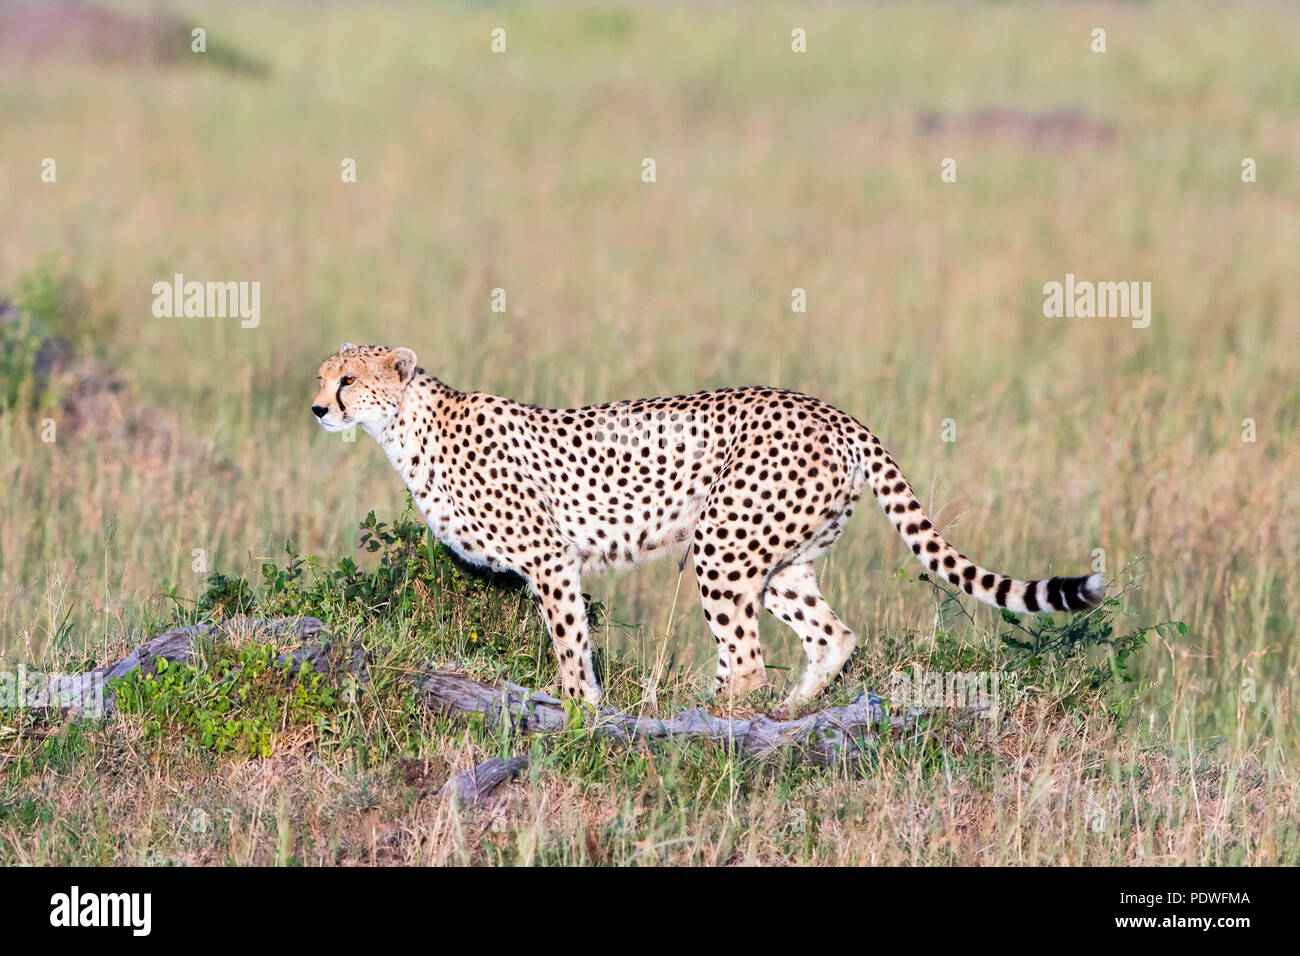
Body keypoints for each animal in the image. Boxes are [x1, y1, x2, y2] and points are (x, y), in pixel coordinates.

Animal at [312, 343, 1105, 709]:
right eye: (323, 378)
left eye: (348, 380)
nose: (319, 409)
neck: (407, 426)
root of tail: (832, 410)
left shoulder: (550, 556)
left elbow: (570, 642)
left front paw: (580, 708)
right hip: (775, 557)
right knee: (832, 635)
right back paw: (786, 711)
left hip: (722, 544)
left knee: (747, 659)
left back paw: (711, 712)